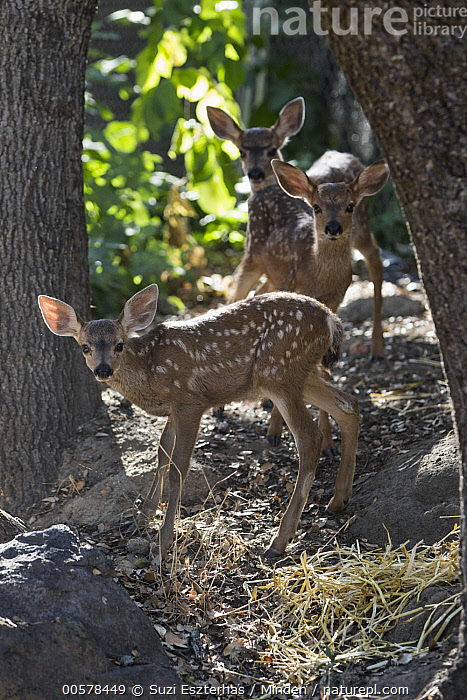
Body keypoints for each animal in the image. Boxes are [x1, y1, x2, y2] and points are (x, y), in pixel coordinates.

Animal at [38, 285, 359, 560]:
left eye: (119, 345)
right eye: (85, 347)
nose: (103, 370)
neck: (149, 373)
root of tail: (331, 319)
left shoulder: (190, 402)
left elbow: (179, 466)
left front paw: (163, 541)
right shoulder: (173, 410)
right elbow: (161, 454)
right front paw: (143, 516)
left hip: (279, 371)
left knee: (309, 438)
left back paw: (279, 540)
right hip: (300, 374)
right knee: (348, 405)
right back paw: (338, 500)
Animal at [207, 100, 389, 450]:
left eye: (348, 205)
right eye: (316, 207)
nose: (332, 227)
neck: (318, 273)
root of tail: (264, 192)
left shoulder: (332, 304)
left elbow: (322, 369)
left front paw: (327, 441)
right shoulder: (294, 288)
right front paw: (276, 430)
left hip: (359, 231)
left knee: (376, 263)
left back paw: (376, 349)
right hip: (253, 256)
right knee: (236, 294)